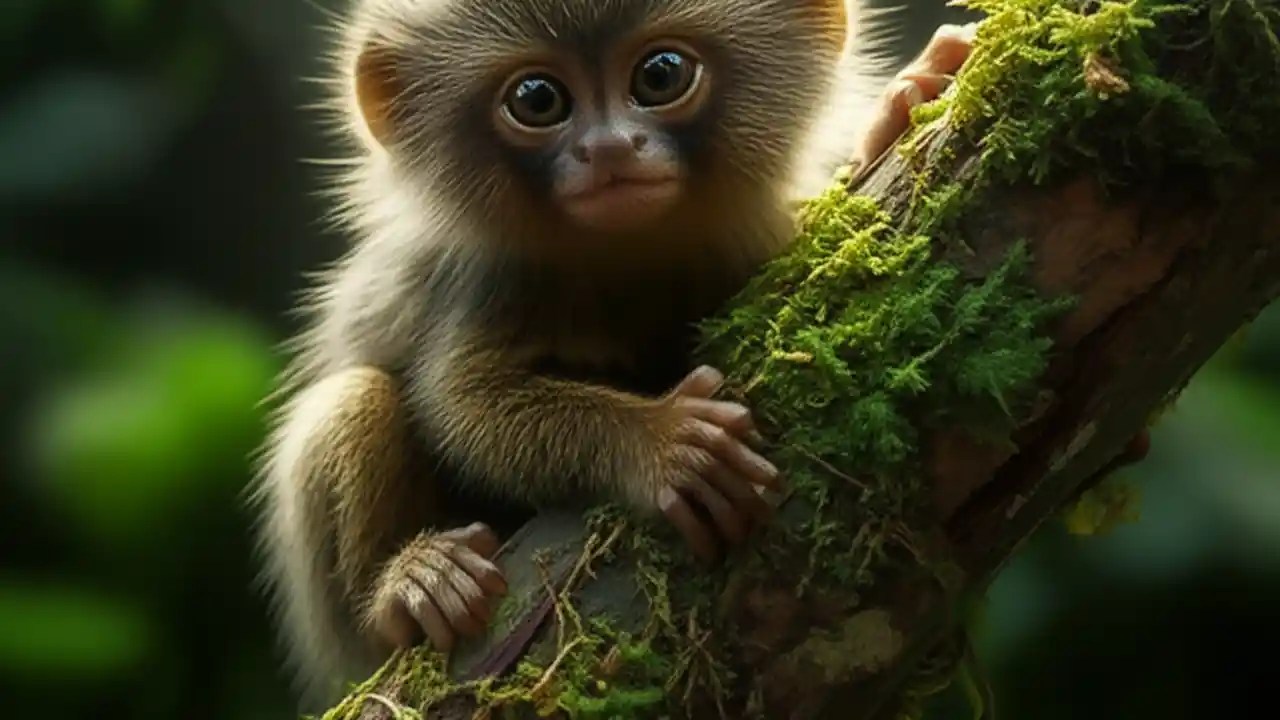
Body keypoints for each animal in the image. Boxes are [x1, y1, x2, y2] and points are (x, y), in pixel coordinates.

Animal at [251, 0, 1011, 708]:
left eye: (661, 75)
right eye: (537, 99)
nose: (611, 148)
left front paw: (902, 104)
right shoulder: (485, 279)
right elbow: (462, 407)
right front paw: (665, 443)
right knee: (356, 400)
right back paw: (405, 593)